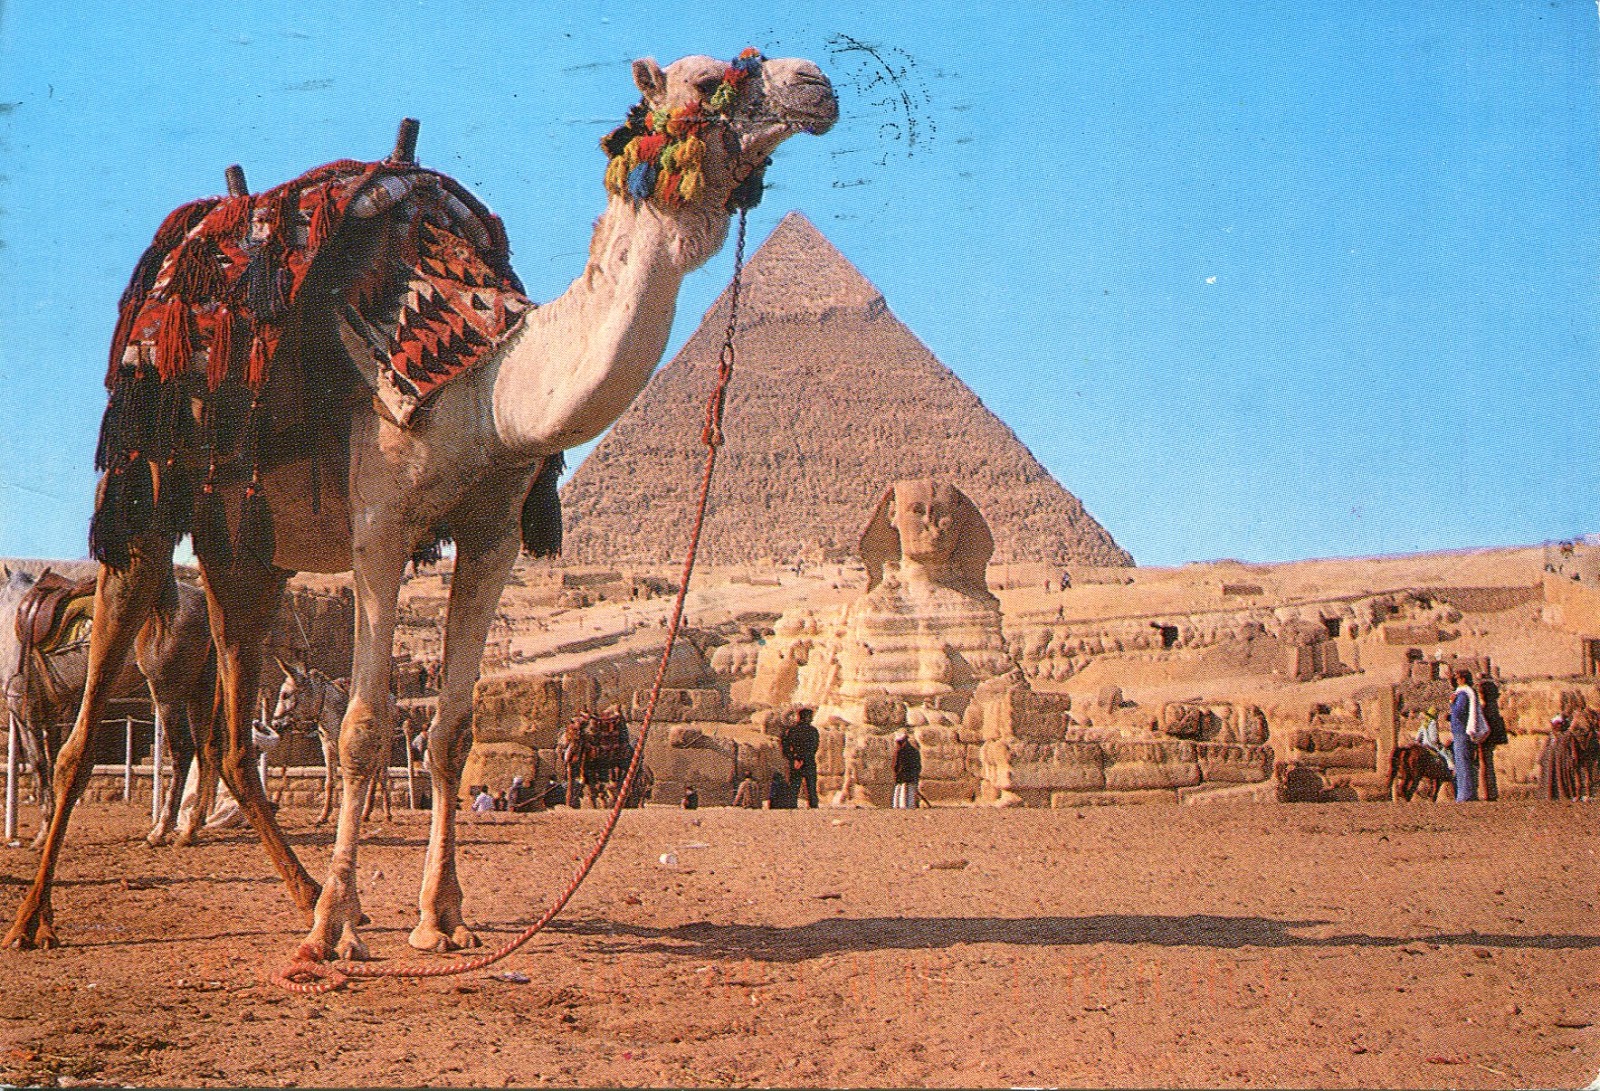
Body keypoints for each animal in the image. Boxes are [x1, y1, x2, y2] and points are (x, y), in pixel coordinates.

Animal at [5, 50, 836, 954]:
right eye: (709, 80)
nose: (816, 84)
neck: (488, 384)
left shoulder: (494, 535)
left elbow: (451, 730)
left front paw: (441, 916)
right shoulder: (381, 529)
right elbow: (367, 726)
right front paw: (337, 929)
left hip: (246, 557)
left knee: (231, 742)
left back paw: (302, 890)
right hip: (146, 502)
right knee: (85, 731)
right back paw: (39, 915)